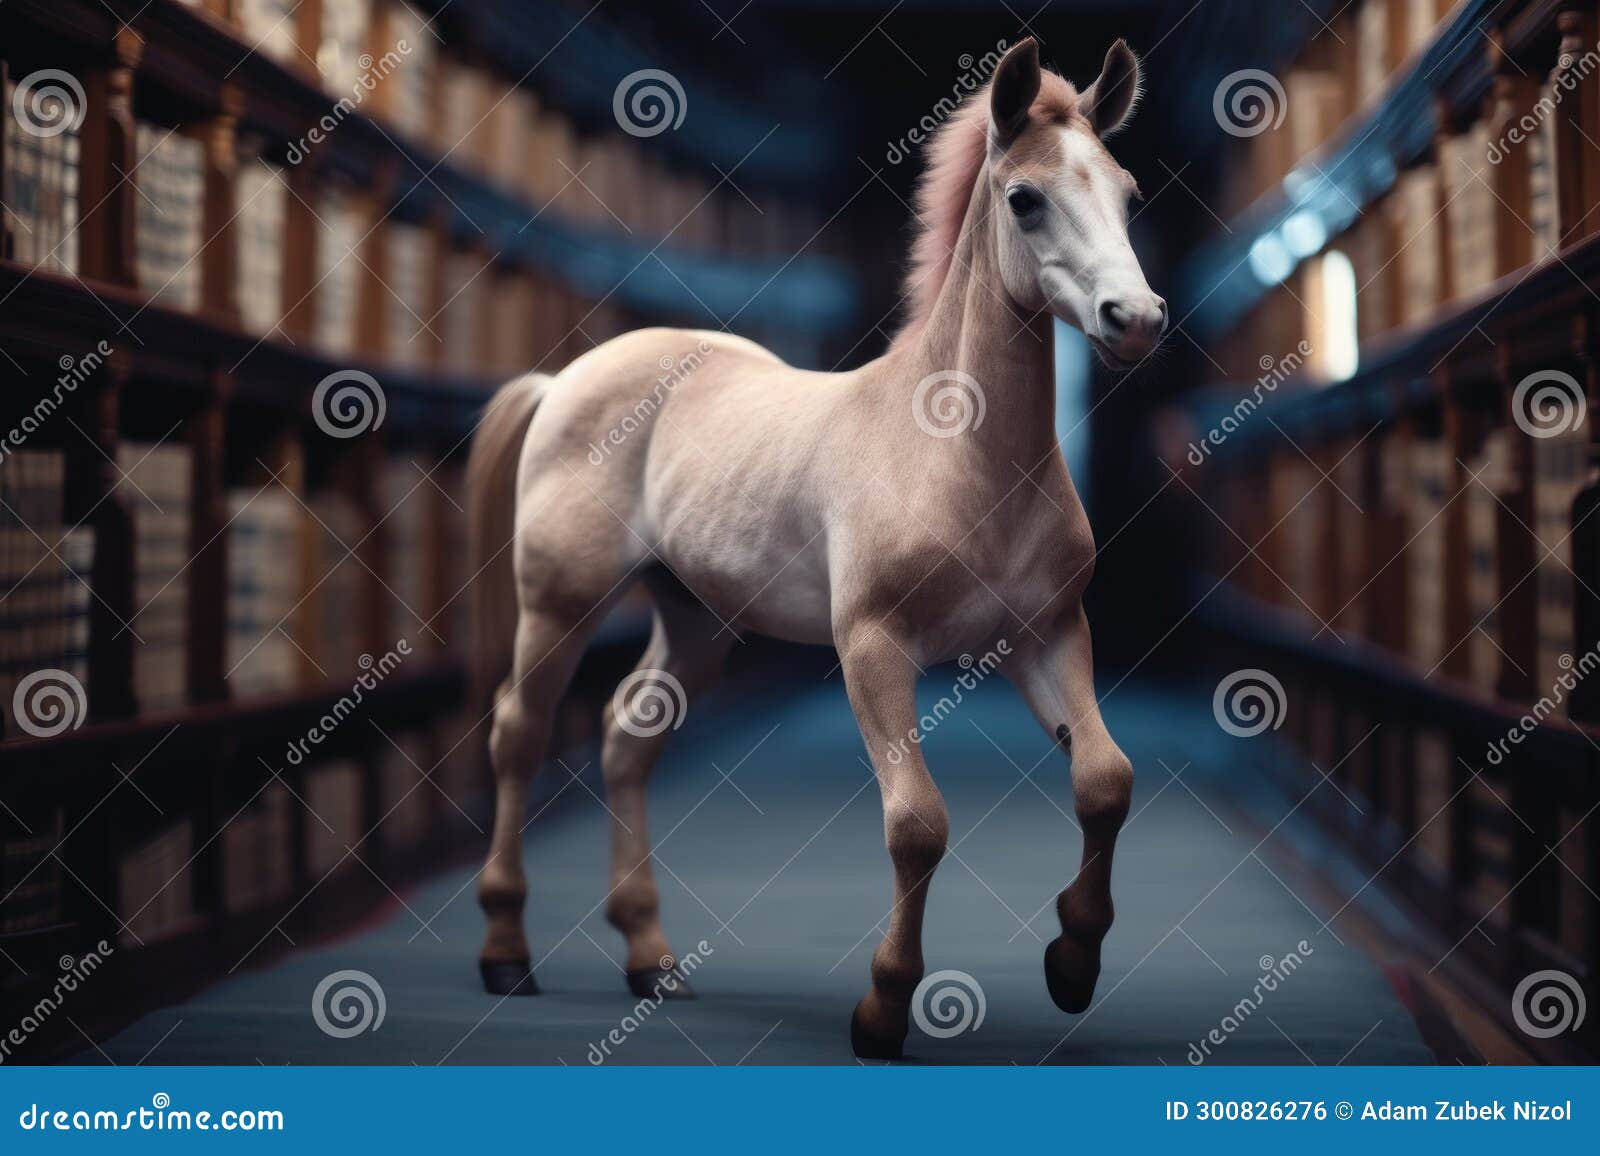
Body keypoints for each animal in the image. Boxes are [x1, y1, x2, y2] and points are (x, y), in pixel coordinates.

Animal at [464, 36, 1165, 1059]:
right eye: (1025, 198)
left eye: (1127, 190)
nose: (1135, 320)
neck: (953, 454)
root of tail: (566, 380)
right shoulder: (872, 647)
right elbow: (916, 823)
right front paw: (882, 1009)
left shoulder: (1047, 636)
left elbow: (1105, 780)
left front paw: (1071, 962)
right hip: (560, 603)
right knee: (519, 731)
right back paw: (507, 953)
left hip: (695, 620)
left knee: (627, 738)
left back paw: (650, 958)